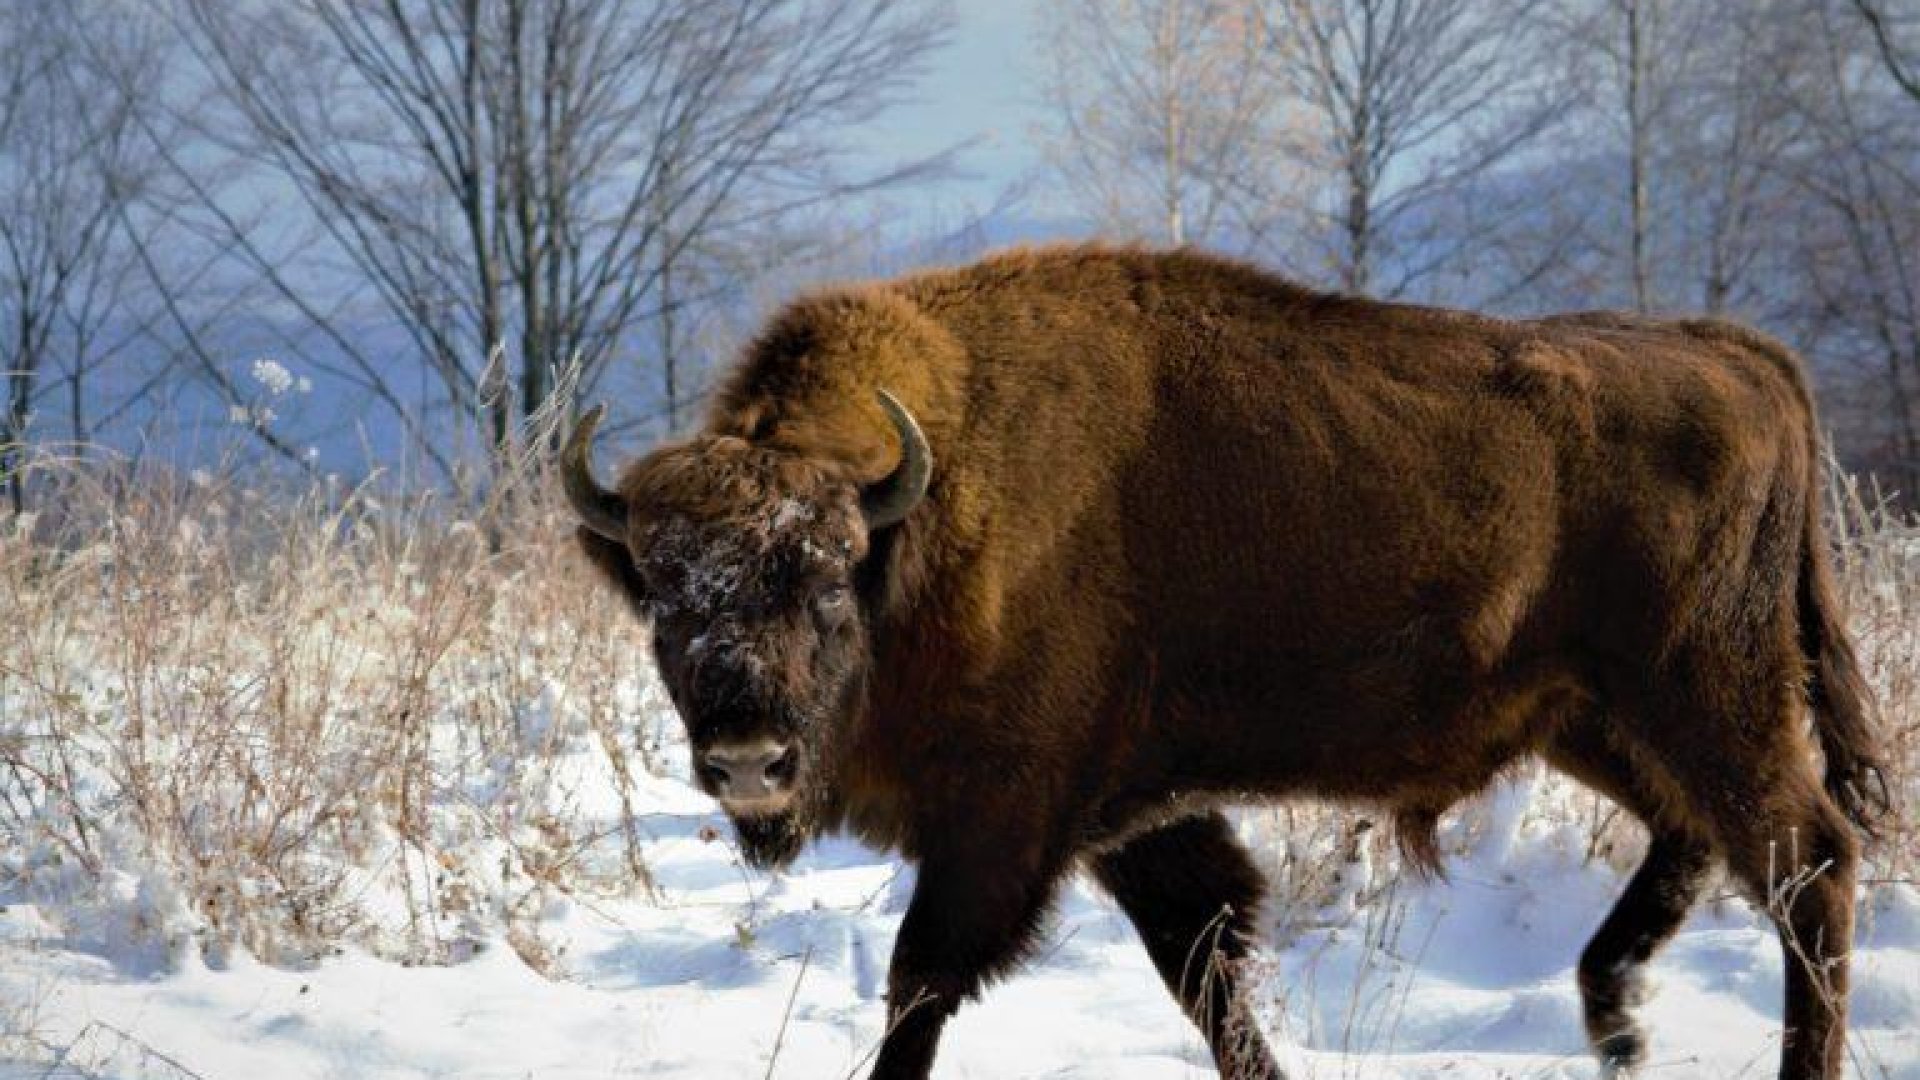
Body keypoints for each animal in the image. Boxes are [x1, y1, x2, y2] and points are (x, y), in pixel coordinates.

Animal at [564, 245, 1885, 1080]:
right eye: (663, 597)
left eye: (827, 578)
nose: (748, 761)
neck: (921, 516)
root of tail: (1742, 356)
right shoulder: (1130, 826)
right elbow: (1205, 970)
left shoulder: (1005, 823)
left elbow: (923, 981)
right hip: (1599, 715)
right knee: (1704, 840)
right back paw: (1614, 1023)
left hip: (1703, 694)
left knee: (1807, 859)